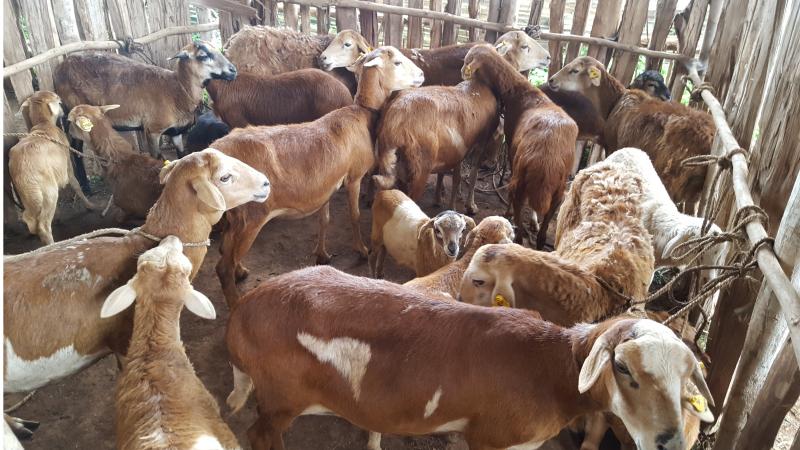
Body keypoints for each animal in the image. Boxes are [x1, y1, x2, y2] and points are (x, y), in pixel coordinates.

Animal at [8, 91, 95, 245]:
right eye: (58, 100)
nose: (65, 110)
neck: (43, 124)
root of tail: (23, 168)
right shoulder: (67, 165)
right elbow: (76, 184)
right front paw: (89, 205)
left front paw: (58, 216)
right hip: (48, 189)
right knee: (43, 225)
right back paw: (51, 245)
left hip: (28, 194)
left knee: (31, 219)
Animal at [54, 40, 237, 158]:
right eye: (203, 55)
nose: (233, 70)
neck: (177, 90)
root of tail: (59, 68)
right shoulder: (152, 131)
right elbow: (158, 159)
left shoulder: (176, 132)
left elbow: (181, 155)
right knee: (74, 150)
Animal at [225, 265, 714, 450]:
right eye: (623, 366)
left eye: (687, 380)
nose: (670, 440)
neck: (549, 369)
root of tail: (244, 309)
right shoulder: (489, 439)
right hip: (281, 398)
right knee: (259, 435)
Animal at [462, 44, 579, 249]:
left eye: (468, 60)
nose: (462, 73)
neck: (521, 92)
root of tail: (547, 163)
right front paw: (533, 220)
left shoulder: (510, 146)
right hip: (559, 190)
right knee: (542, 233)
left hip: (521, 179)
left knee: (518, 223)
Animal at [548, 56, 716, 207]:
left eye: (575, 70)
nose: (551, 80)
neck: (614, 102)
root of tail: (709, 136)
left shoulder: (613, 147)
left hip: (671, 182)